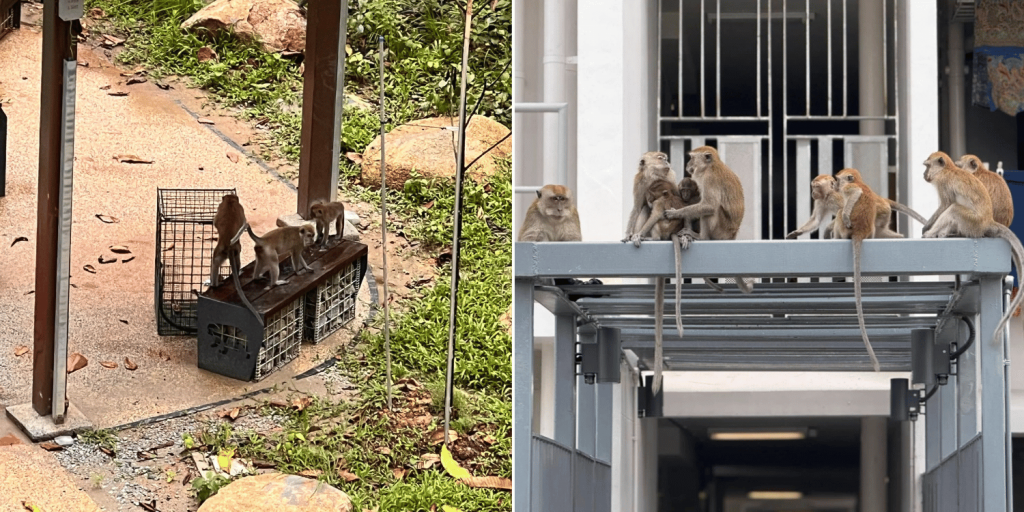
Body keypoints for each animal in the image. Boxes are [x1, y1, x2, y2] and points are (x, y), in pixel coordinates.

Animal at [209, 194, 263, 326]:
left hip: (221, 251)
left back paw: (215, 284)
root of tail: (228, 244)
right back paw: (236, 273)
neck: (230, 201)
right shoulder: (240, 208)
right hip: (236, 250)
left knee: (215, 262)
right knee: (235, 260)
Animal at [832, 168, 884, 372]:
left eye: (837, 179)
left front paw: (846, 213)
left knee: (840, 213)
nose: (833, 185)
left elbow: (855, 194)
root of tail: (860, 231)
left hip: (846, 229)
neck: (860, 181)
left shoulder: (849, 188)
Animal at [922, 151, 1024, 344]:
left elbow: (946, 205)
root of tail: (987, 222)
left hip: (972, 222)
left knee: (954, 208)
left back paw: (934, 234)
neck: (948, 170)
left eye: (927, 166)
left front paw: (927, 229)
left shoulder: (944, 183)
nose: (924, 174)